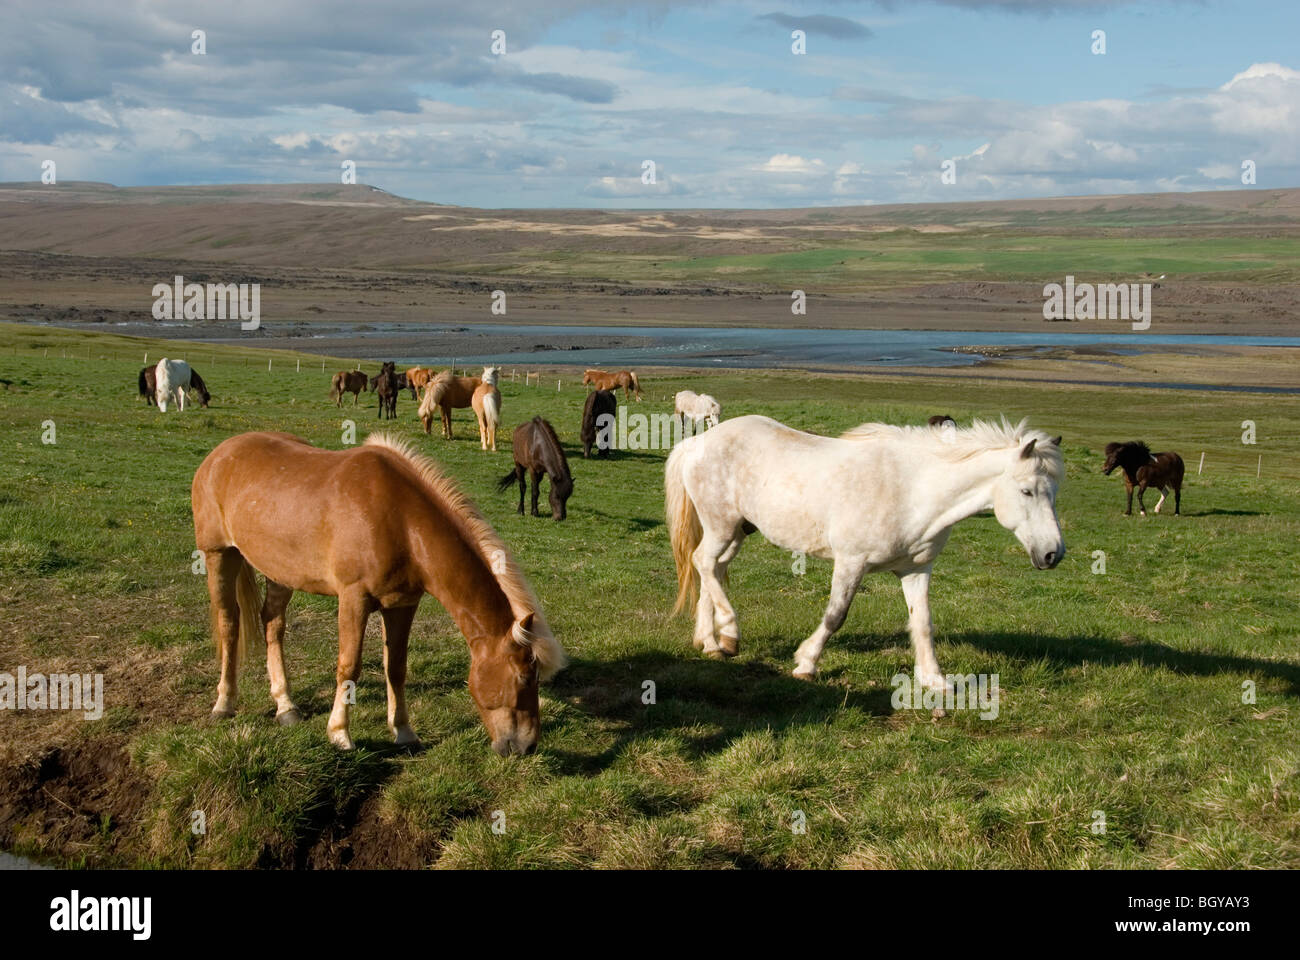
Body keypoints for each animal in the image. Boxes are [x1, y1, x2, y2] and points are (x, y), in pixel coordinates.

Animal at [192, 431, 565, 755]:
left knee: (272, 624)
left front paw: (404, 731)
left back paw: (286, 706)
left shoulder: (402, 604)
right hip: (219, 555)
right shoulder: (353, 599)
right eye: (524, 677)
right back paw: (224, 703)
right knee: (229, 624)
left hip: (279, 570)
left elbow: (396, 667)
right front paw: (339, 734)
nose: (527, 746)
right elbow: (348, 667)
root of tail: (219, 454)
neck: (402, 522)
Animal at [665, 415, 1064, 684]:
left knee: (711, 569)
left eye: (1053, 492)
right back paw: (730, 634)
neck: (912, 490)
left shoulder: (916, 570)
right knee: (703, 562)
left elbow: (922, 622)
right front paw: (806, 663)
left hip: (736, 532)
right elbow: (835, 616)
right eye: (1027, 490)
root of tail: (697, 443)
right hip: (722, 526)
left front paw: (934, 680)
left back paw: (711, 642)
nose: (1053, 554)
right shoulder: (851, 562)